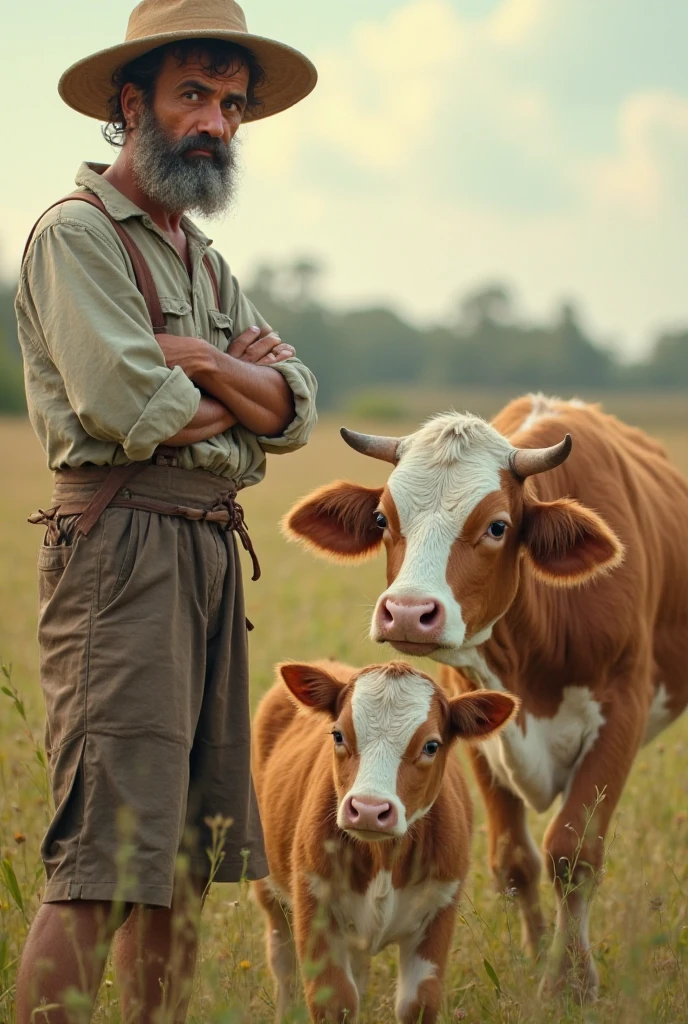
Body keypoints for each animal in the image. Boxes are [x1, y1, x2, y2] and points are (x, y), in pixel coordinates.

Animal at [252, 659, 517, 1023]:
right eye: (338, 734)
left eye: (431, 746)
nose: (368, 809)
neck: (384, 857)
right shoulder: (314, 902)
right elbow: (334, 1000)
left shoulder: (439, 909)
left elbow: (417, 1003)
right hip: (270, 890)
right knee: (283, 966)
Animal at [283, 394, 688, 1002]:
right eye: (382, 519)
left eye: (498, 526)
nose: (408, 612)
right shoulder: (473, 724)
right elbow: (515, 859)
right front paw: (539, 959)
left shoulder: (623, 710)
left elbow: (573, 852)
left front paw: (570, 981)